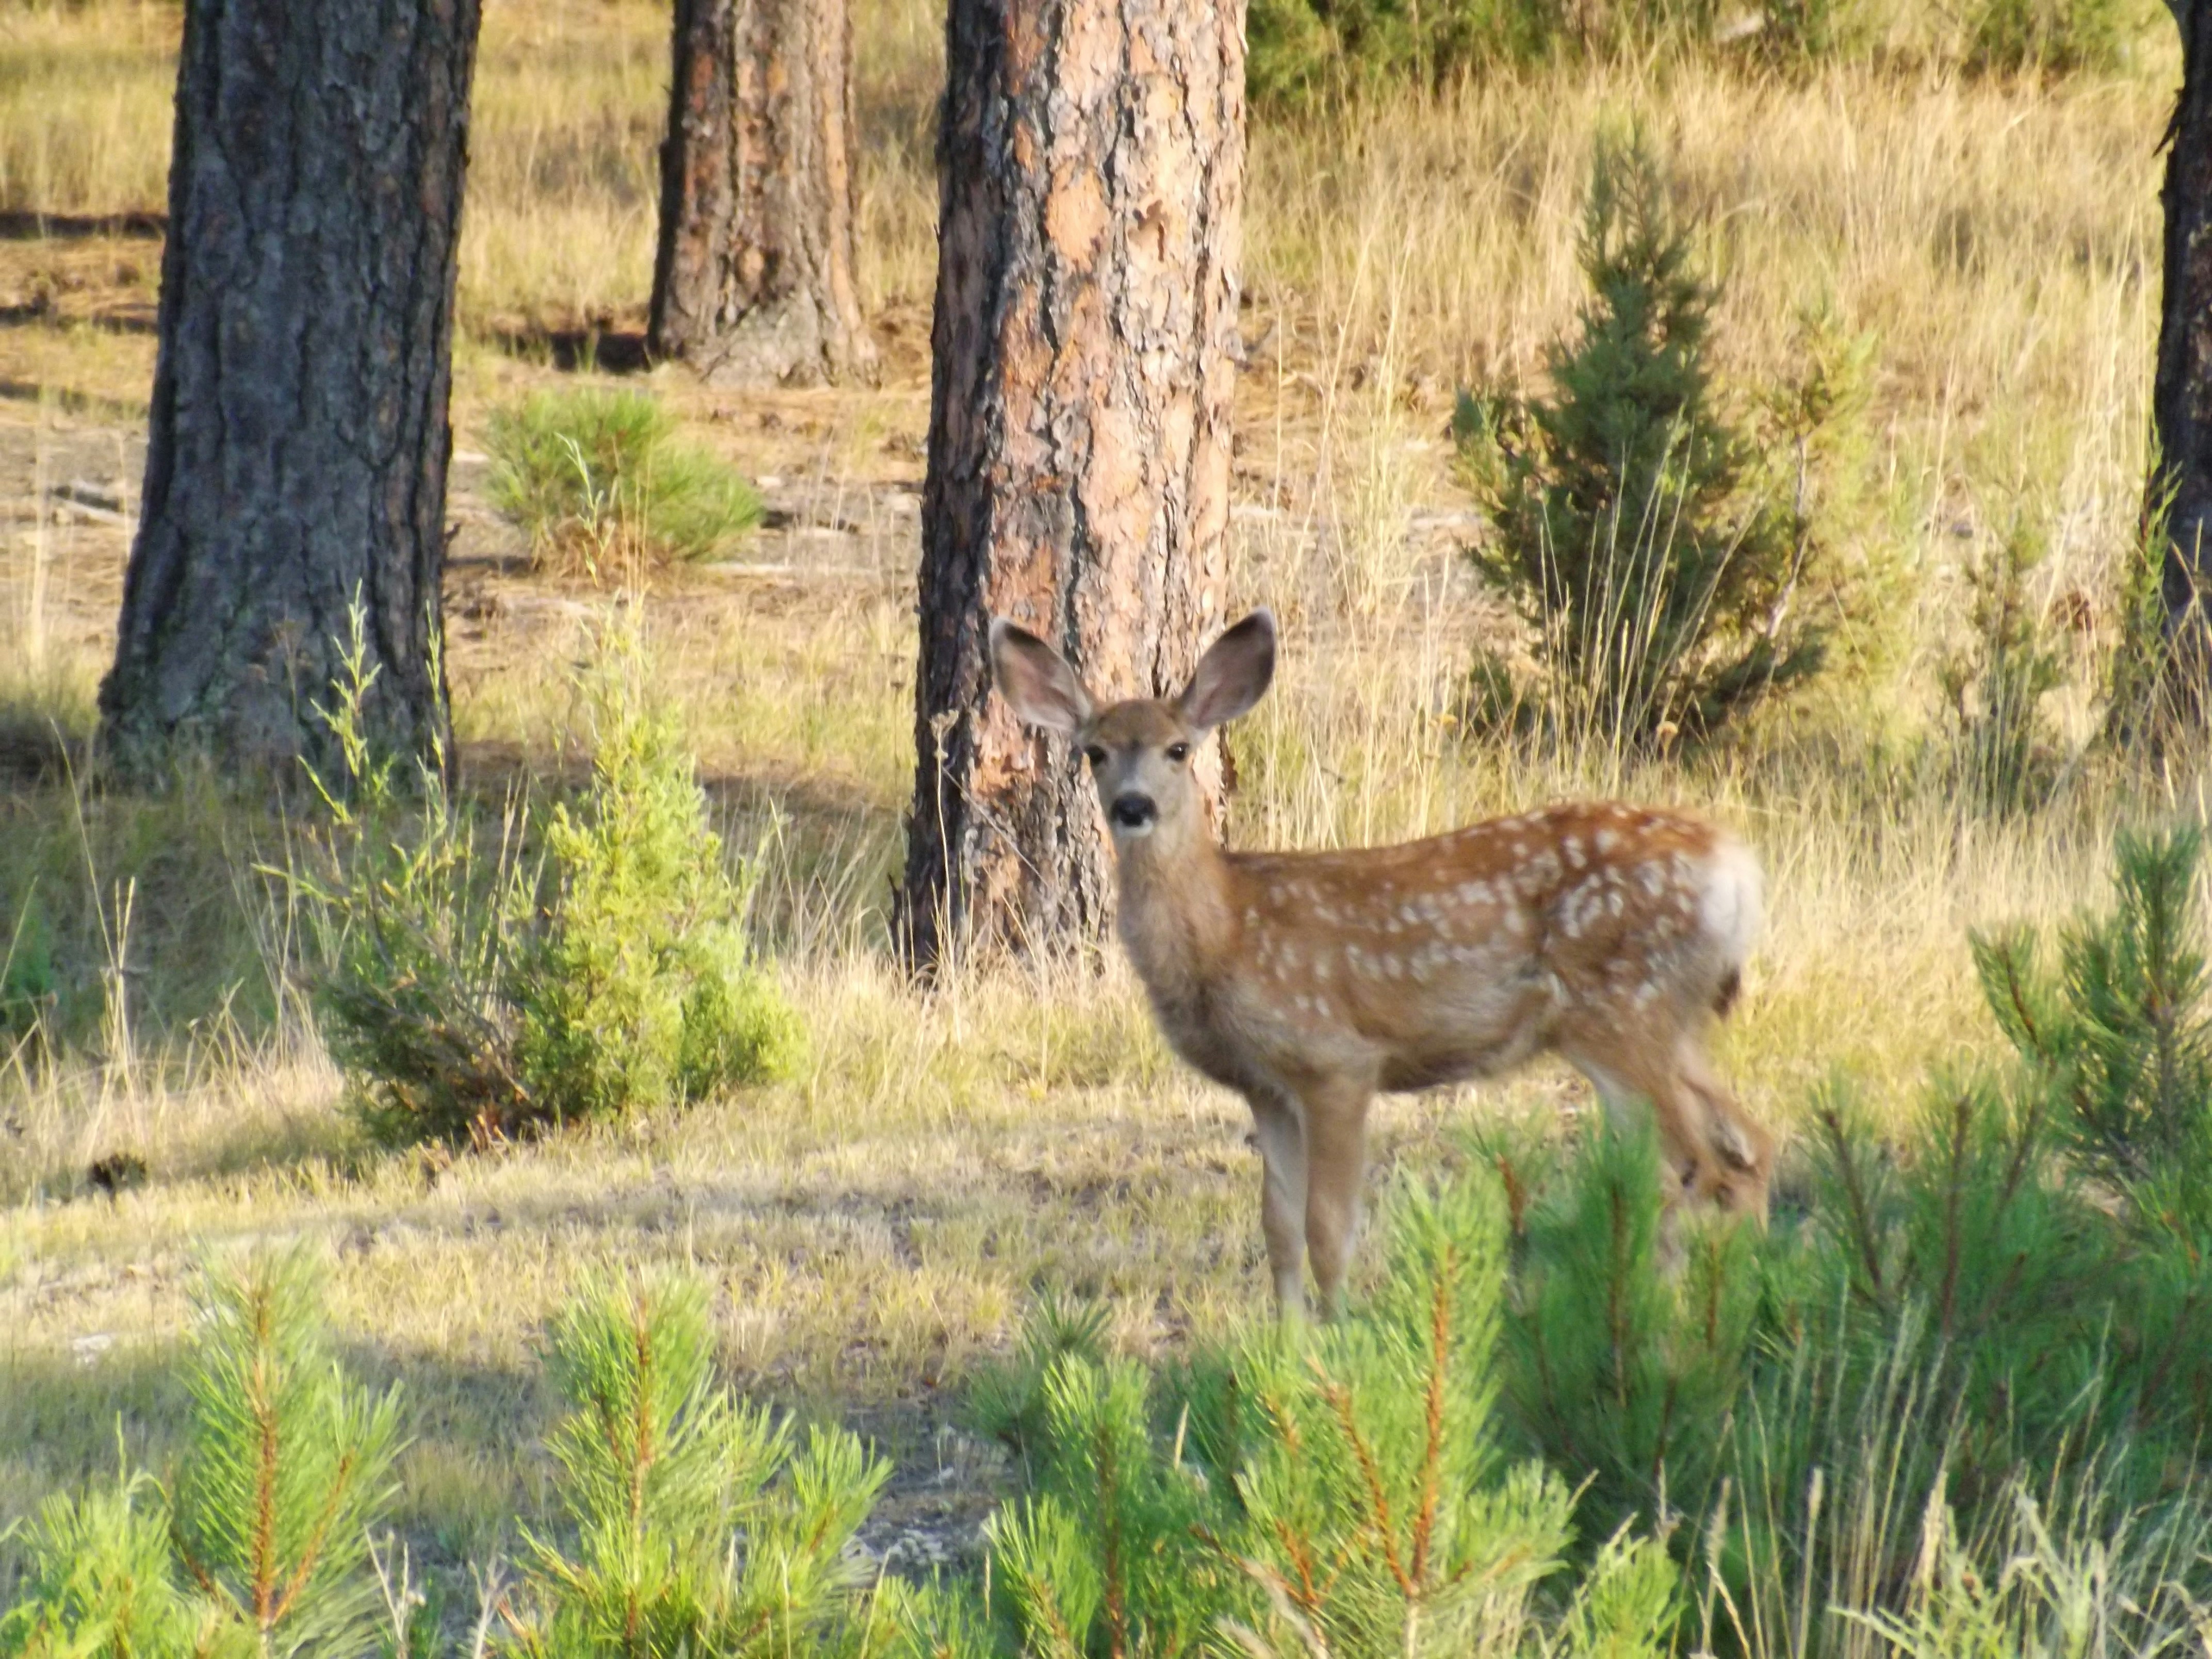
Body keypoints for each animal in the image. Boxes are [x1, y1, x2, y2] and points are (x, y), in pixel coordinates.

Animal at [989, 607, 1773, 1320]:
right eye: (1095, 751)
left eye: (1179, 749)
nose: (1133, 806)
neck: (1228, 932)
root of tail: (1733, 867)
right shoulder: (1265, 1086)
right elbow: (1278, 1232)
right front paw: (1285, 1350)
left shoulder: (1336, 1061)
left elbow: (1328, 1231)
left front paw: (1340, 1348)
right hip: (1665, 1026)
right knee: (1744, 1146)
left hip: (1623, 1012)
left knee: (1702, 1166)